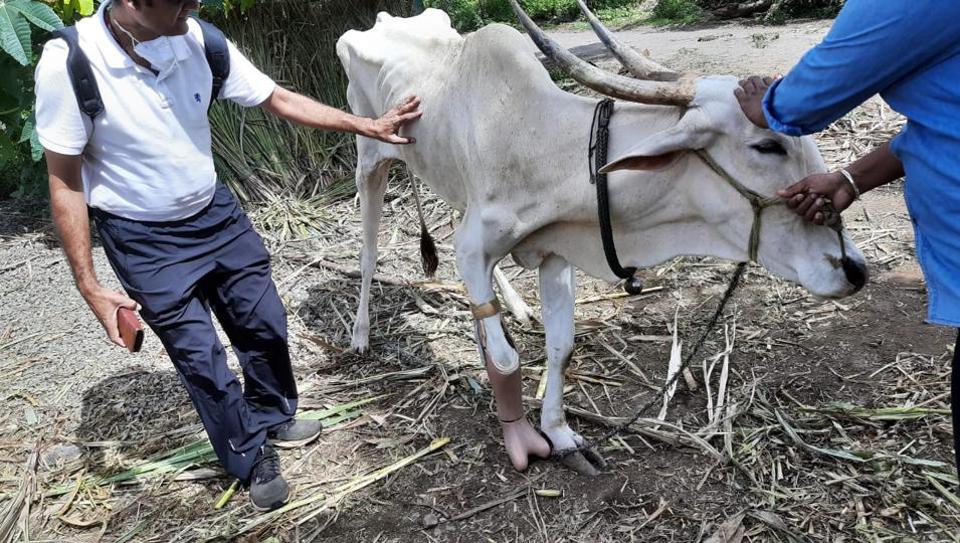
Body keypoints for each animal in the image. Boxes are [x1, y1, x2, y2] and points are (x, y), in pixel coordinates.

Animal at [335, 2, 867, 475]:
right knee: (368, 252)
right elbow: (506, 358)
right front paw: (521, 436)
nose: (854, 268)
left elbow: (561, 347)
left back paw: (510, 311)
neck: (542, 141)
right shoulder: (474, 247)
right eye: (768, 145)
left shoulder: (555, 253)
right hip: (369, 158)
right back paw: (360, 334)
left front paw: (560, 434)